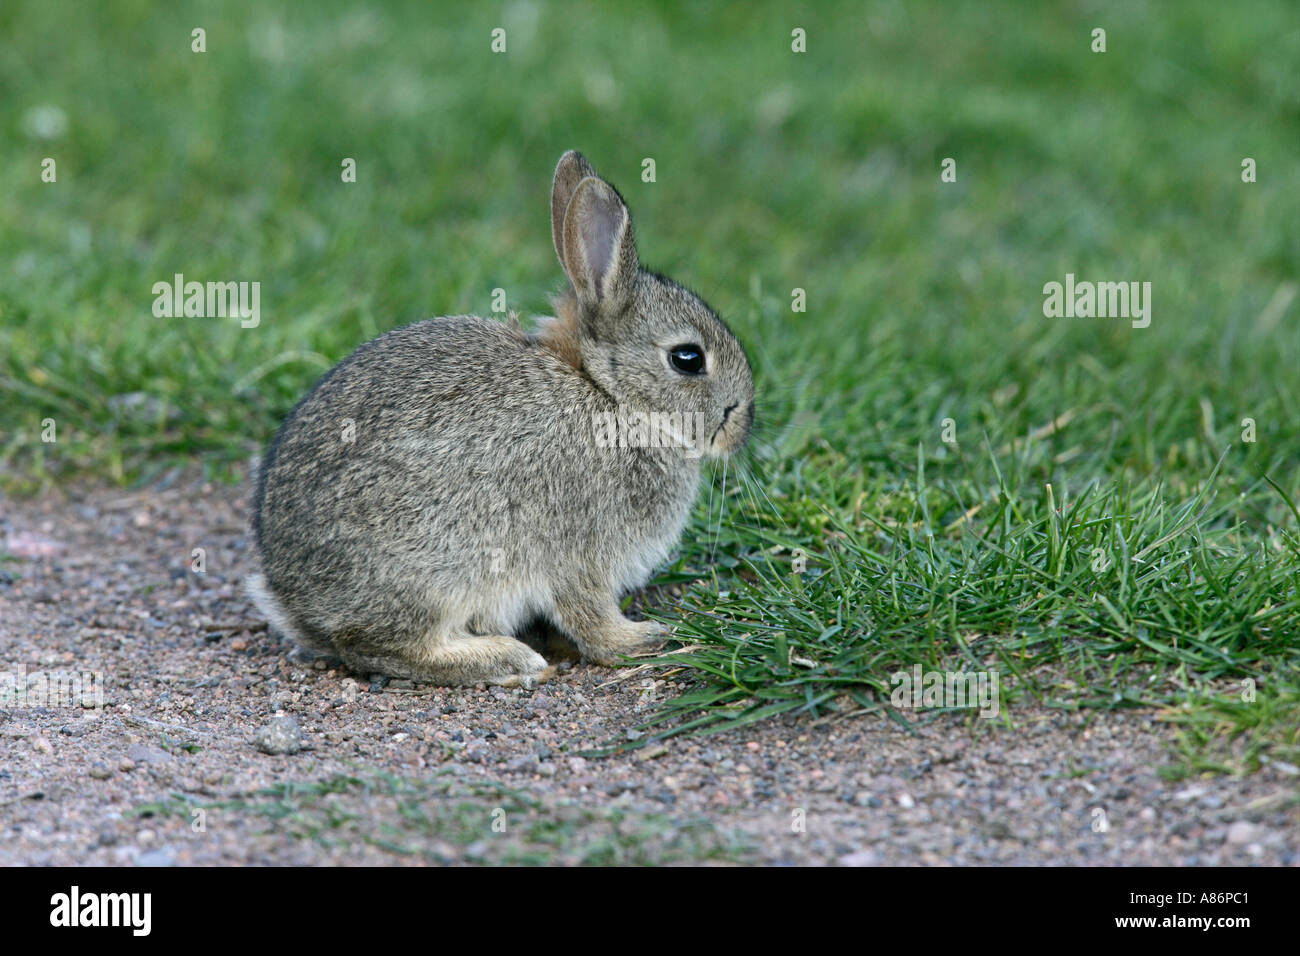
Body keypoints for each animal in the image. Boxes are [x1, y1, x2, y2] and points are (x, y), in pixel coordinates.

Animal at [247, 150, 754, 687]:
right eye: (688, 358)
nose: (743, 422)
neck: (608, 394)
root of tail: (295, 601)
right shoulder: (581, 552)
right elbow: (591, 618)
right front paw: (642, 639)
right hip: (437, 569)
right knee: (380, 646)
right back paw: (504, 658)